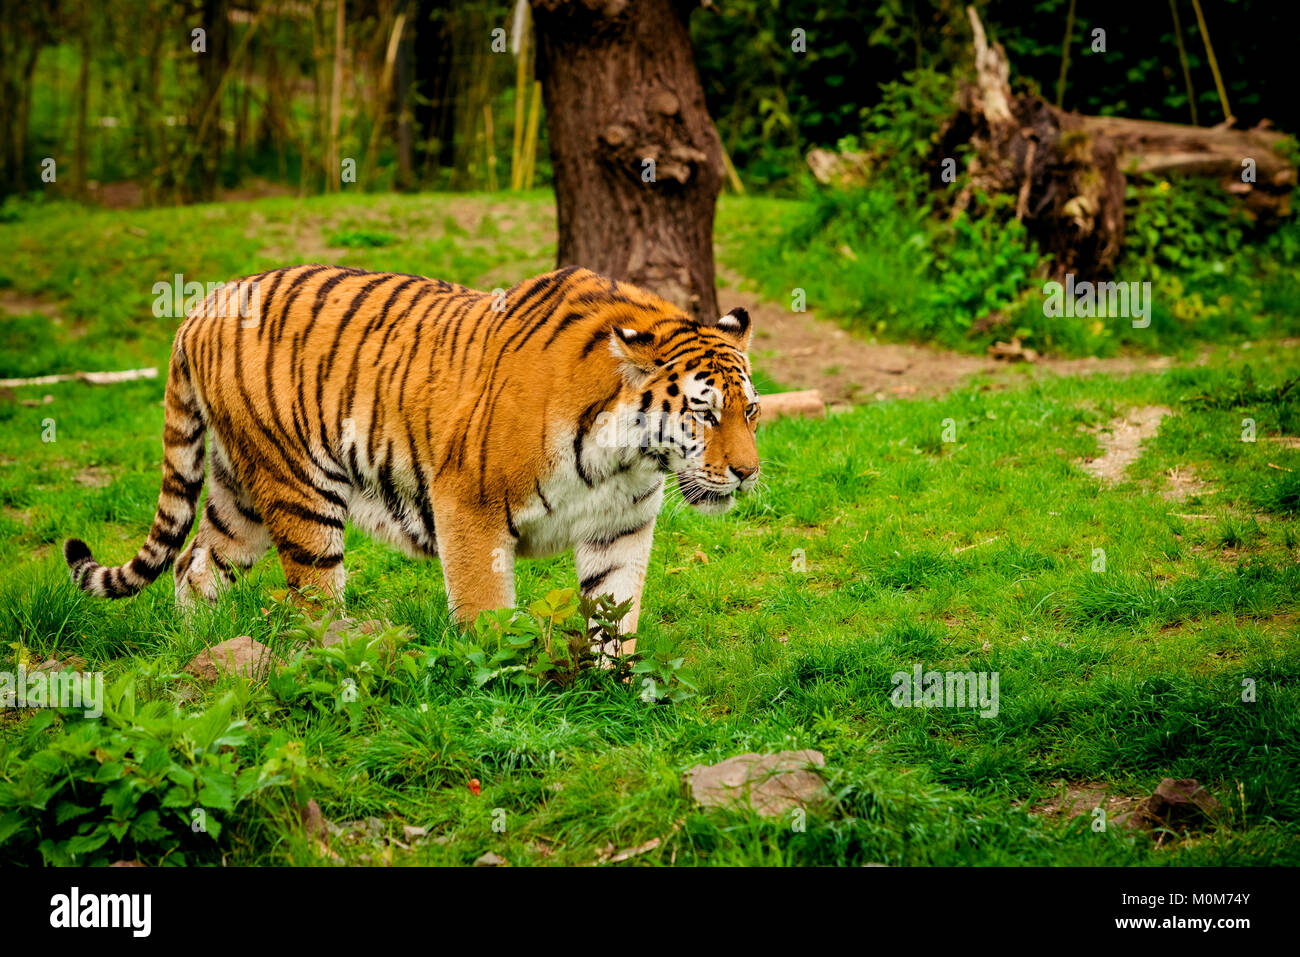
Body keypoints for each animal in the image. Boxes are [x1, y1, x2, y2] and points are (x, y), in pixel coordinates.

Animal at [63, 265, 761, 654]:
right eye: (704, 413)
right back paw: (335, 660)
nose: (748, 472)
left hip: (242, 494)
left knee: (194, 565)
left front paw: (614, 689)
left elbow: (617, 613)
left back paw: (197, 649)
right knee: (313, 601)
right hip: (300, 490)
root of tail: (202, 306)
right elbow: (485, 611)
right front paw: (503, 686)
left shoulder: (621, 526)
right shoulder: (470, 508)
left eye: (750, 411)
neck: (627, 457)